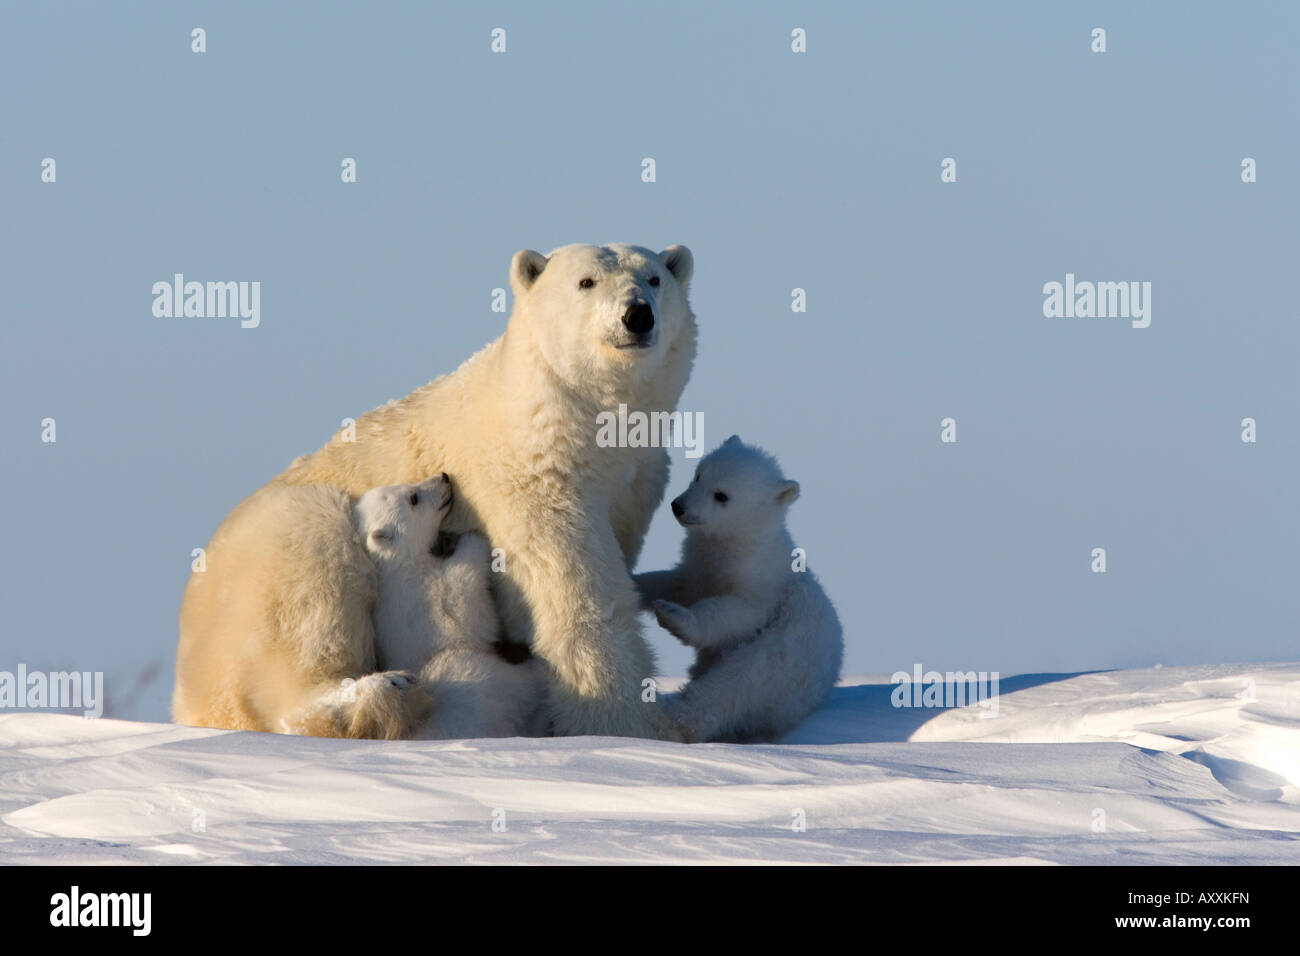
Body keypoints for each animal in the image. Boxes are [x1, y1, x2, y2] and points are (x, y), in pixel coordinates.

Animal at [353, 476, 547, 739]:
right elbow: (466, 609)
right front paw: (473, 538)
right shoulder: (423, 596)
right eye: (413, 497)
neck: (404, 563)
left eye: (406, 485)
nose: (443, 477)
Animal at [634, 436, 843, 742]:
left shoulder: (762, 589)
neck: (736, 545)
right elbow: (675, 583)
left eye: (722, 495)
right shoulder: (698, 570)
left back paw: (674, 718)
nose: (678, 506)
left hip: (776, 665)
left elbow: (733, 614)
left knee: (728, 689)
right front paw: (634, 584)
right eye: (699, 475)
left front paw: (675, 616)